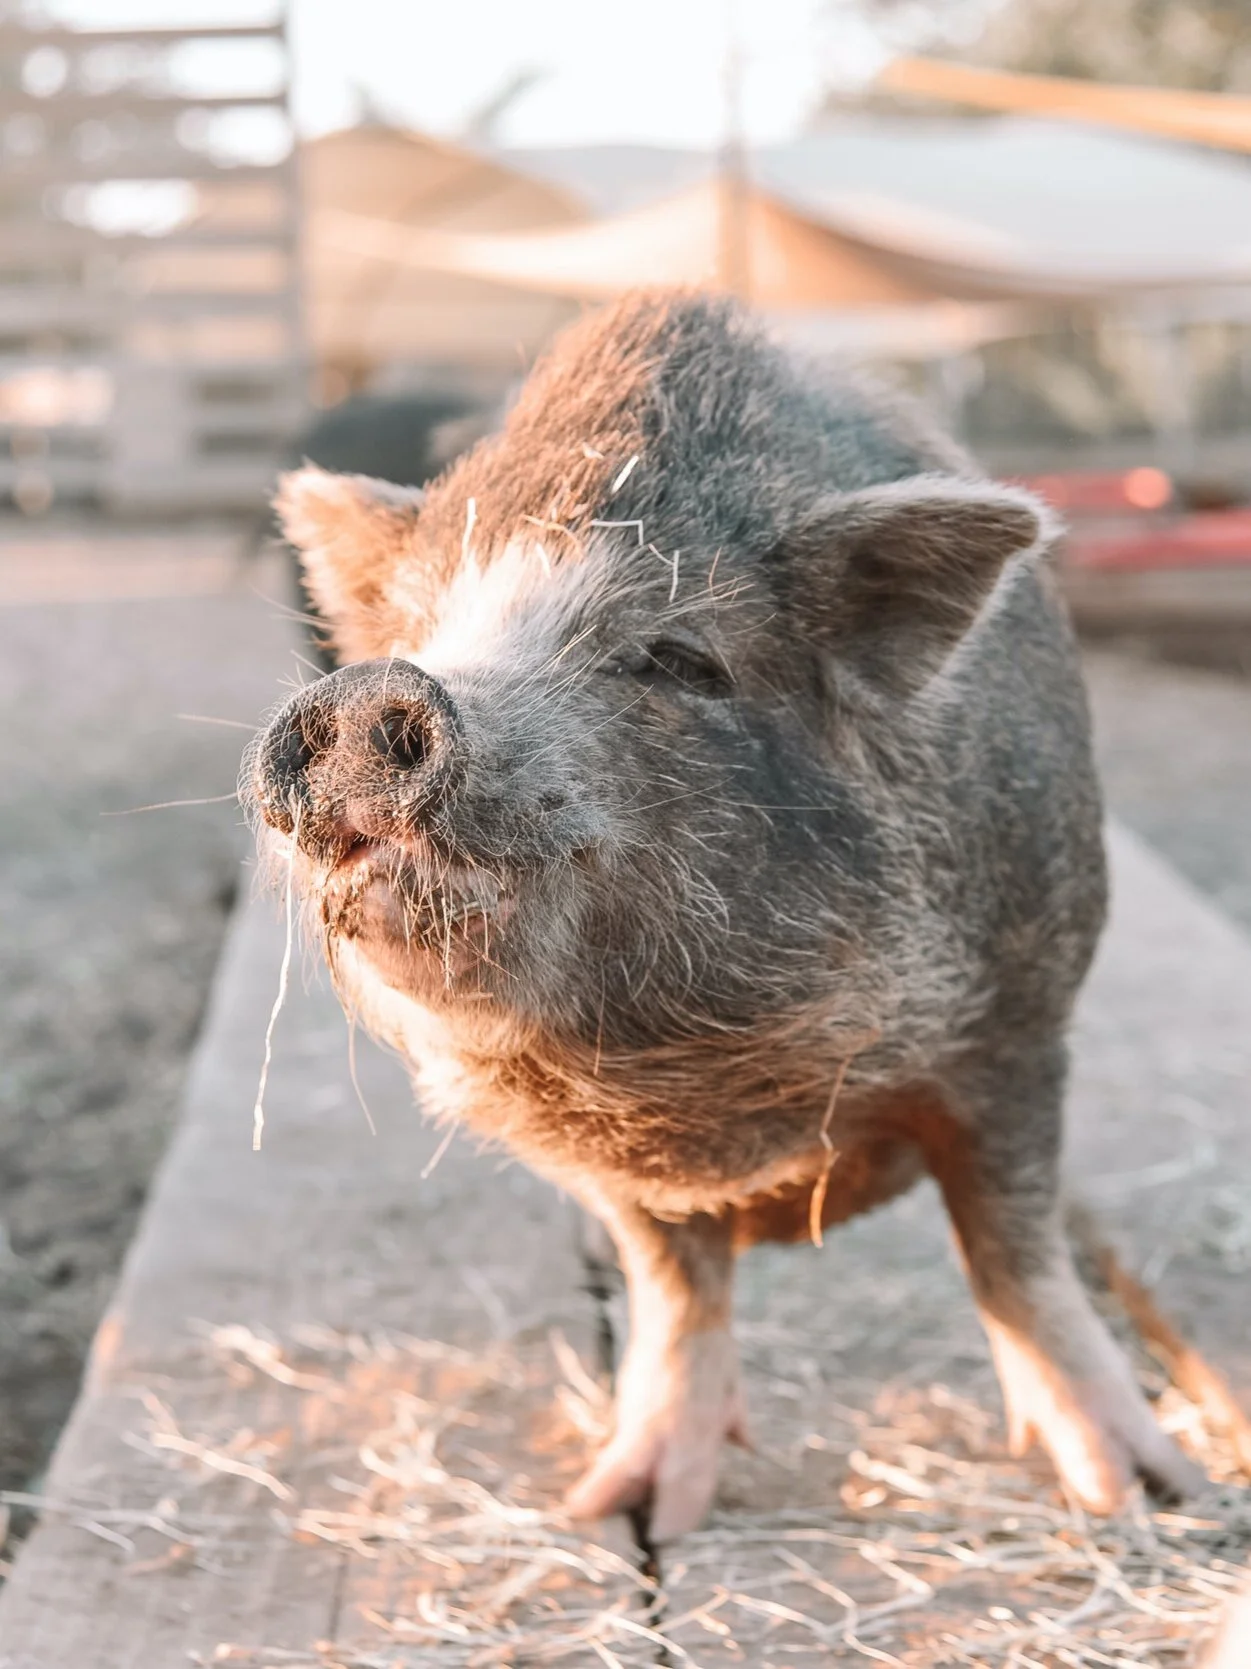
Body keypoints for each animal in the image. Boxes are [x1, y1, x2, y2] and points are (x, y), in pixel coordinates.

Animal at [244, 289, 1201, 1539]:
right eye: (419, 632)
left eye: (681, 657)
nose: (369, 691)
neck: (712, 1095)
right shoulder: (620, 1176)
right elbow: (670, 1290)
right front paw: (622, 1510)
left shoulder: (1021, 1025)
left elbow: (1015, 1245)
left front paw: (1136, 1496)